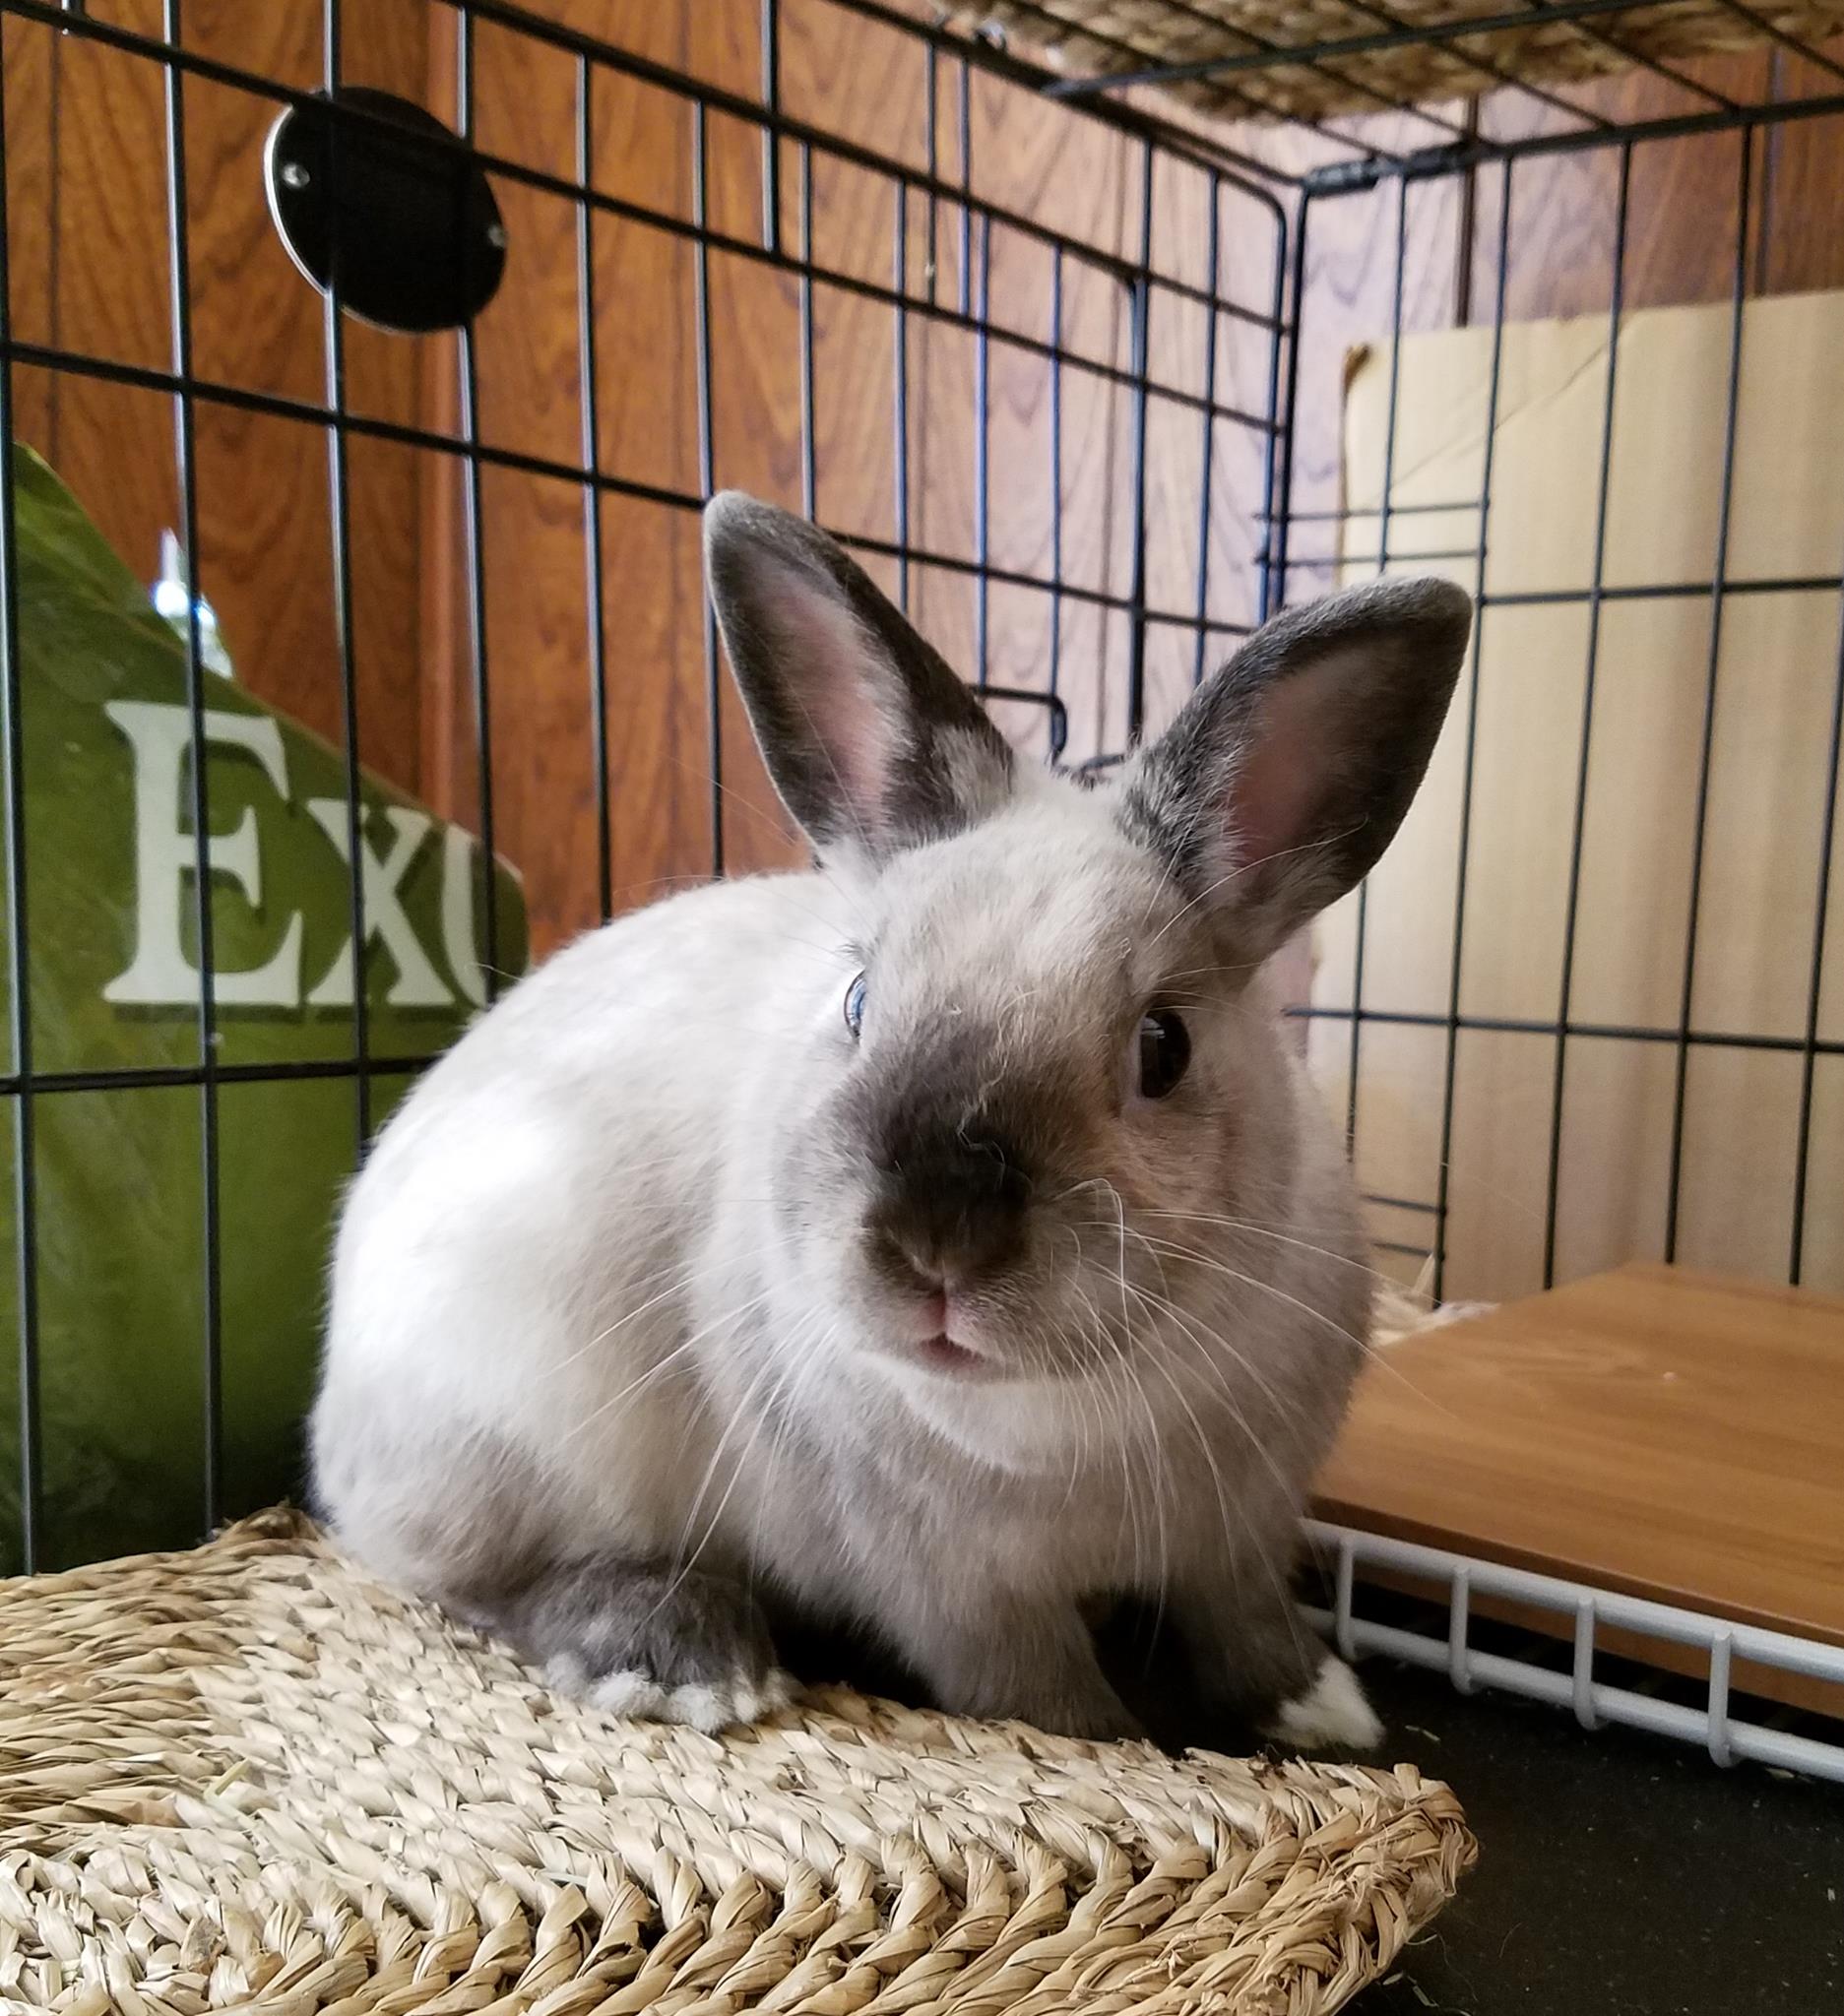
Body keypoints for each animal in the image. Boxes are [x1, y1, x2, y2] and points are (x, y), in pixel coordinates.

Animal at [310, 492, 1471, 1748]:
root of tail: (332, 1417)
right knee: (472, 1579)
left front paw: (1327, 1710)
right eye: (859, 998)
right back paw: (680, 1654)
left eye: (1164, 1045)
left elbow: (1247, 1620)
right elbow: (1043, 1697)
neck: (1078, 1414)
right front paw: (1122, 1744)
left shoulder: (1238, 1532)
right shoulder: (952, 1587)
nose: (936, 1242)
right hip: (513, 1421)